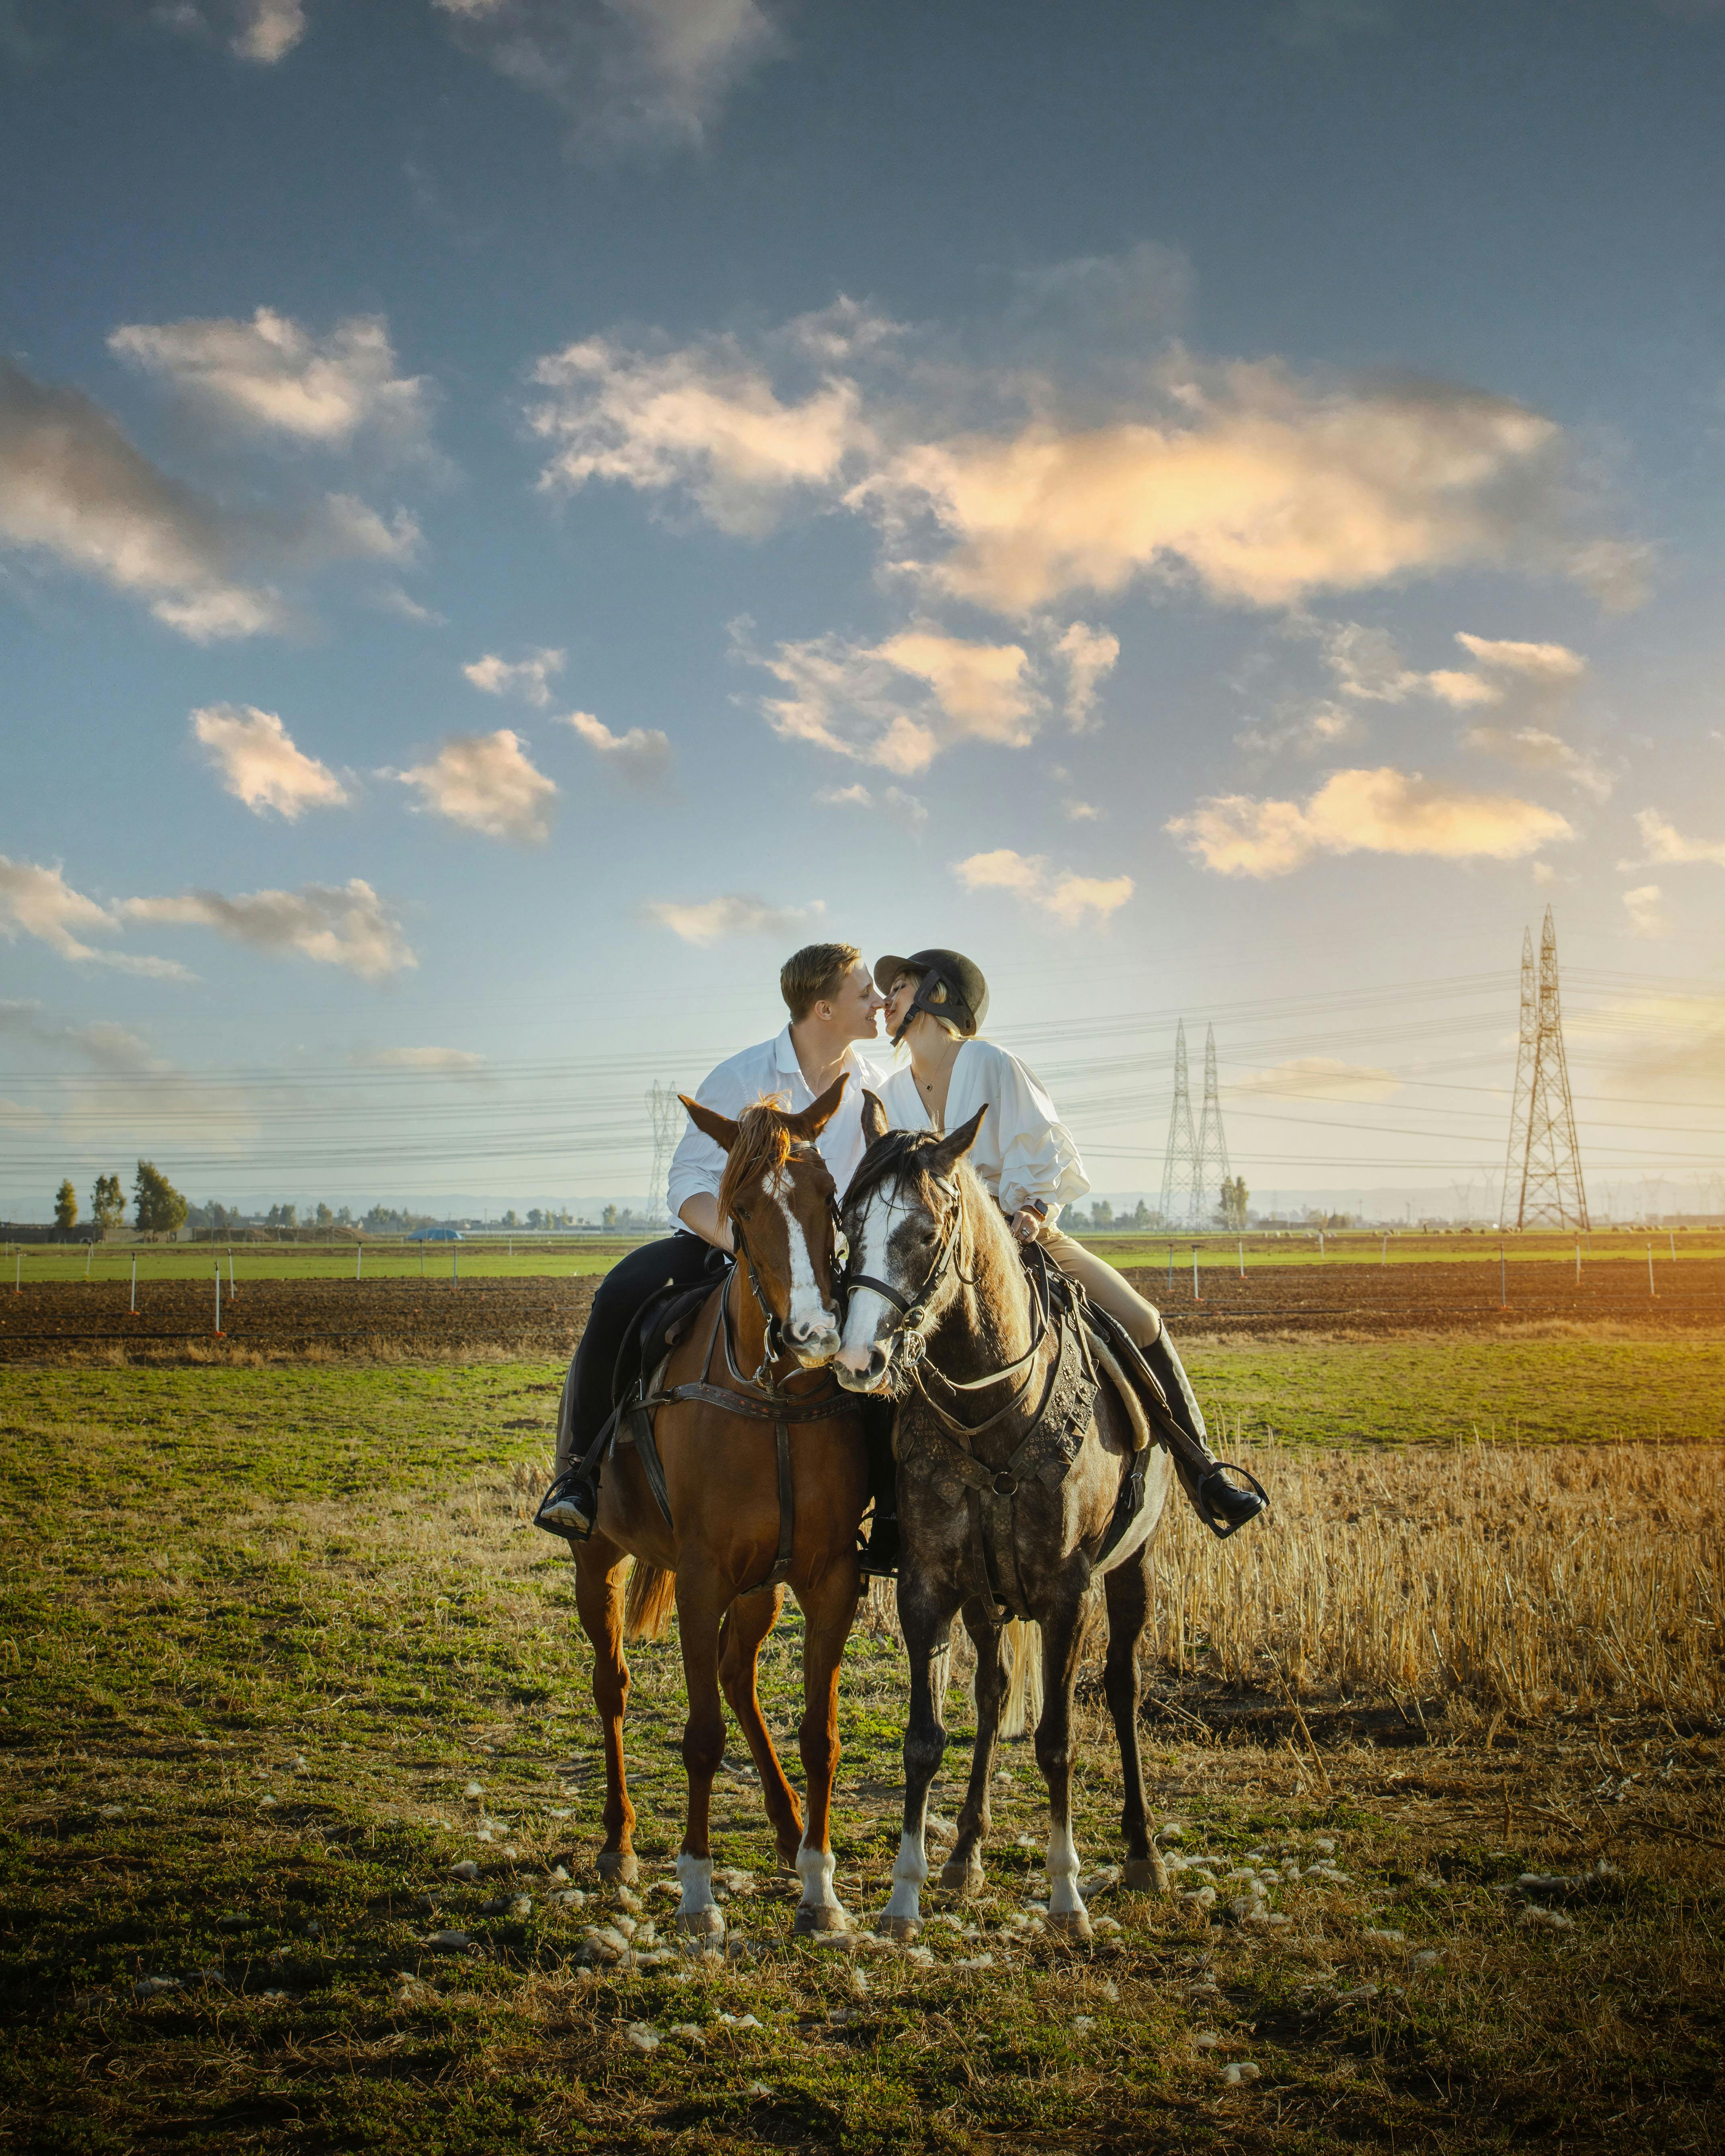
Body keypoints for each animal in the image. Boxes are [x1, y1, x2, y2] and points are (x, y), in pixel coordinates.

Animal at [569, 1077, 869, 1938]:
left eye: (831, 1194)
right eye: (738, 1207)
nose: (814, 1333)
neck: (774, 1400)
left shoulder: (829, 1578)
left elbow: (820, 1732)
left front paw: (820, 1887)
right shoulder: (701, 1578)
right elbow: (700, 1737)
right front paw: (698, 1893)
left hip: (760, 1584)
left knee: (738, 1677)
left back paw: (787, 1824)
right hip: (597, 1559)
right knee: (613, 1684)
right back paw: (618, 1842)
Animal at [834, 1092, 1174, 1939]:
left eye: (925, 1233)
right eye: (846, 1222)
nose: (857, 1362)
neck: (990, 1413)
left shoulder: (1066, 1594)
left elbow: (1056, 1740)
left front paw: (1066, 1896)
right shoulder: (927, 1586)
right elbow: (924, 1739)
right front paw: (906, 1894)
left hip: (1131, 1569)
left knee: (1121, 1686)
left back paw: (1142, 1850)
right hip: (986, 1599)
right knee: (990, 1693)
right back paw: (965, 1853)